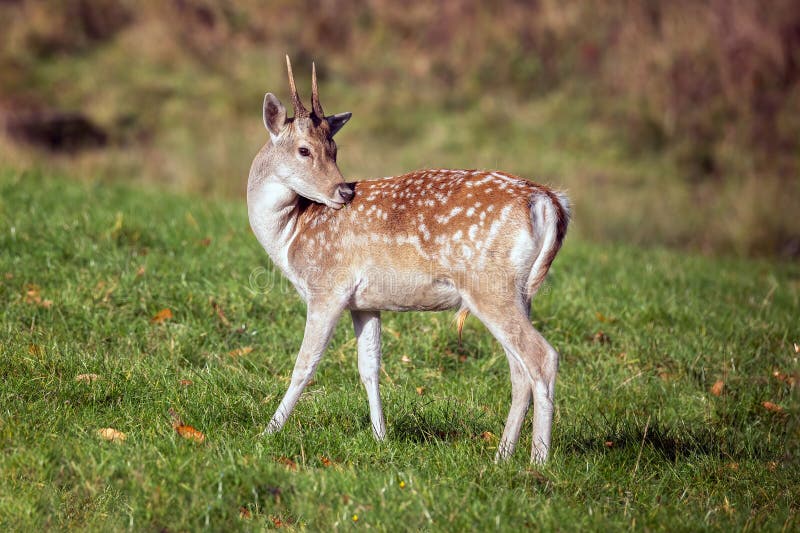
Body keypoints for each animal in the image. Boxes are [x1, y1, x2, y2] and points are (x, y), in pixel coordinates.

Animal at [247, 57, 570, 463]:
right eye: (305, 150)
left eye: (334, 148)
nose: (344, 191)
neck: (291, 233)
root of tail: (549, 200)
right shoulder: (364, 302)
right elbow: (369, 367)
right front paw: (381, 437)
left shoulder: (327, 286)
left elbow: (304, 364)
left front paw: (267, 432)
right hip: (519, 291)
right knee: (519, 369)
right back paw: (501, 457)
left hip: (488, 284)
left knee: (542, 357)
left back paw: (538, 461)